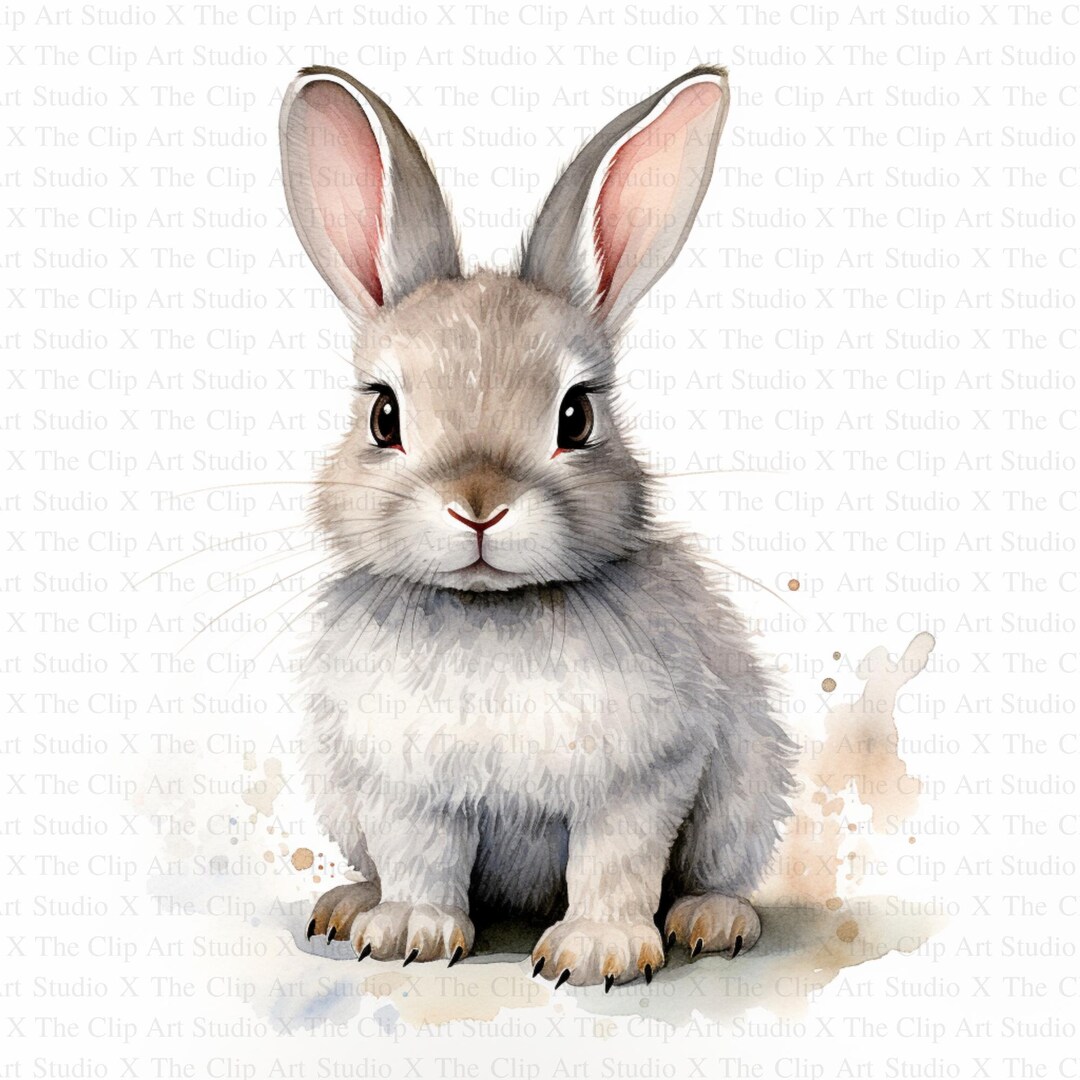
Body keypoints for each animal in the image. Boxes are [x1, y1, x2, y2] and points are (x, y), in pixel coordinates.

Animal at [279, 64, 796, 989]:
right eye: (383, 416)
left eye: (576, 416)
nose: (478, 505)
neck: (492, 613)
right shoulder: (401, 786)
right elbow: (419, 857)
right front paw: (408, 933)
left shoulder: (641, 776)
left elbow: (615, 860)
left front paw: (598, 953)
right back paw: (349, 906)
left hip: (745, 793)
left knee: (716, 870)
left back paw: (712, 920)